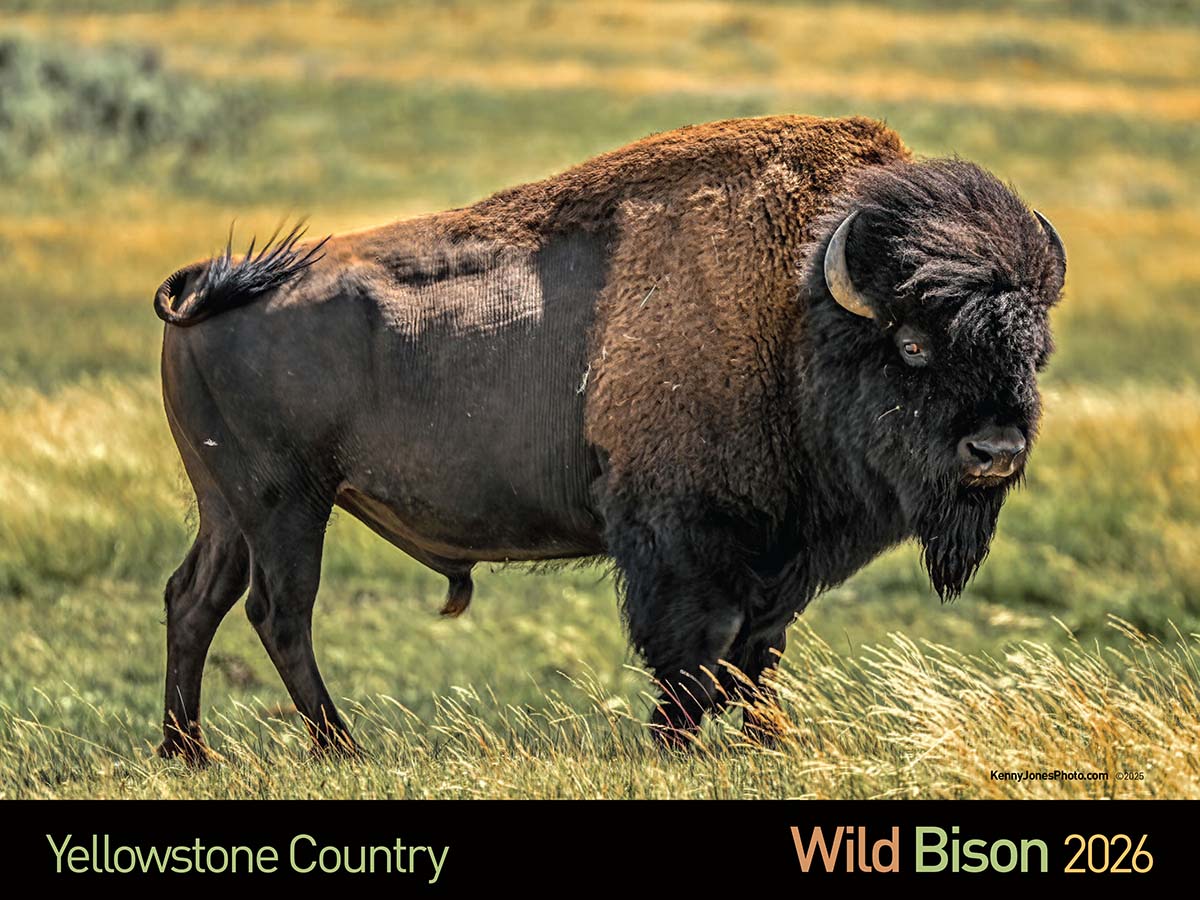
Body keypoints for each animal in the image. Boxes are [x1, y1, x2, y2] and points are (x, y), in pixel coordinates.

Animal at [153, 115, 1064, 760]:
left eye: (1033, 348)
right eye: (912, 343)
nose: (996, 453)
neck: (796, 309)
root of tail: (210, 289)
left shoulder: (778, 555)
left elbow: (758, 652)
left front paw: (771, 744)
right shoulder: (684, 538)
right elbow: (702, 648)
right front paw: (674, 744)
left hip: (229, 509)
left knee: (194, 599)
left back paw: (190, 753)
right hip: (286, 504)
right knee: (280, 612)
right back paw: (342, 749)